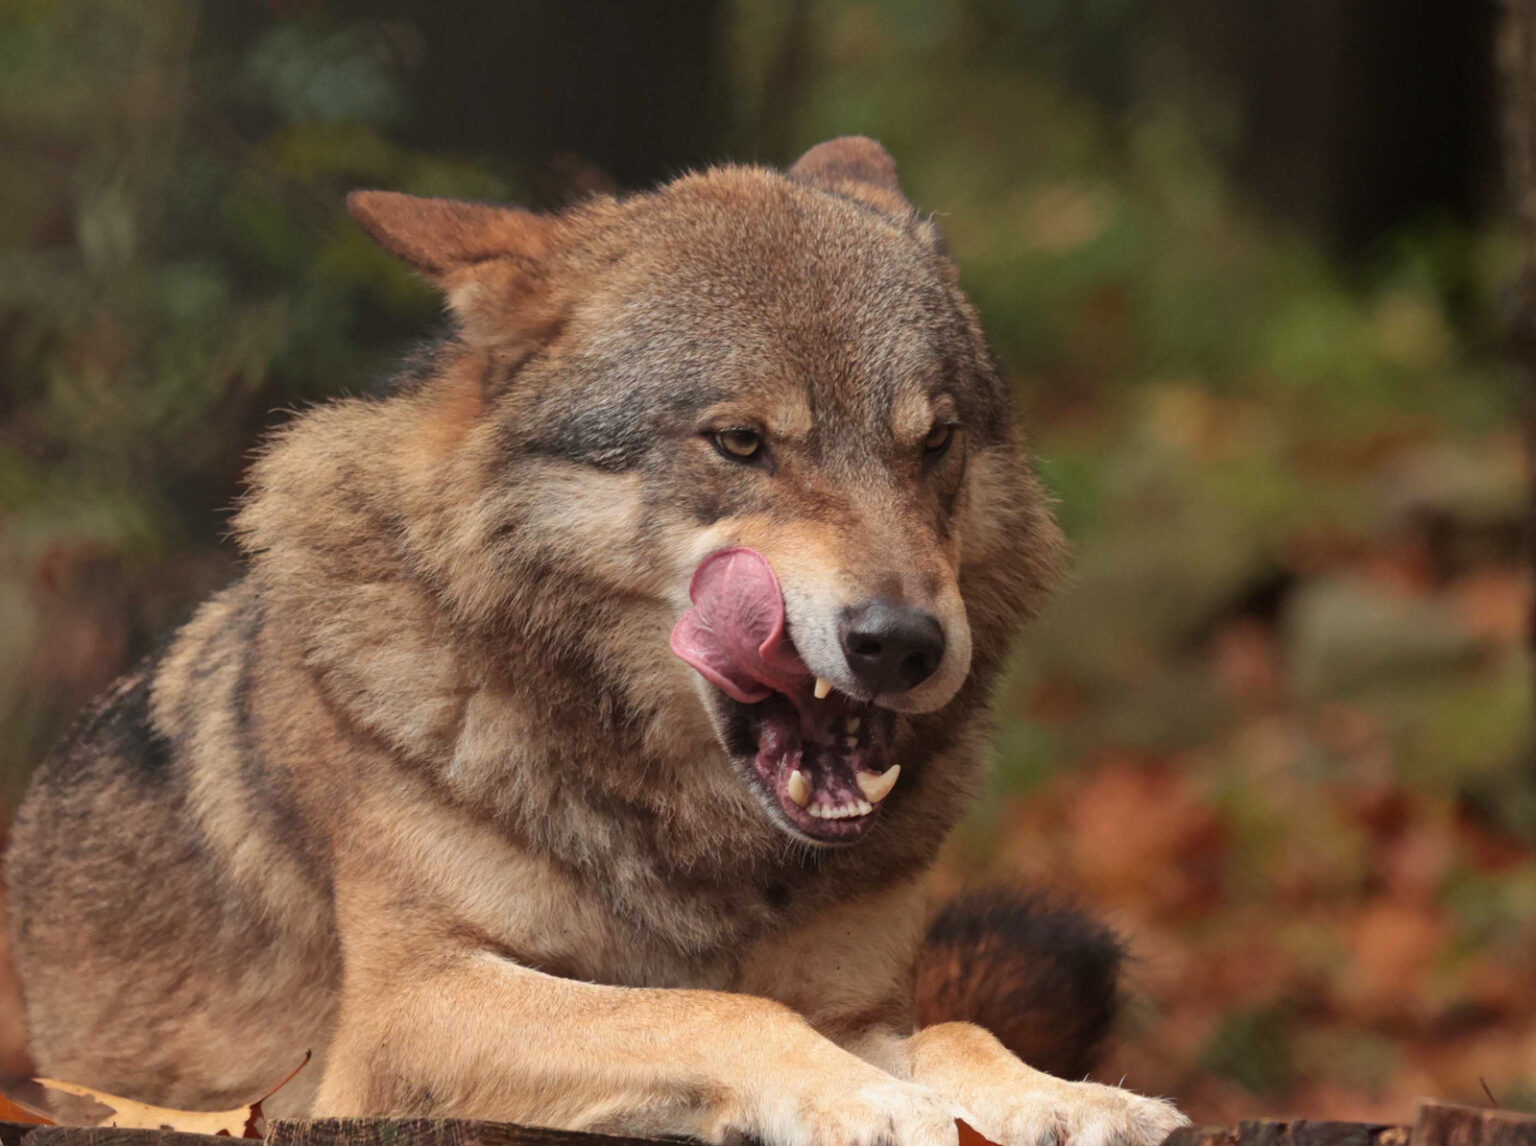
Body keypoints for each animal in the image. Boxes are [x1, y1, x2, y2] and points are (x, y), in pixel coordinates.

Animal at [5, 138, 1185, 1146]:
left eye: (935, 443)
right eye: (740, 442)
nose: (902, 642)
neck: (690, 854)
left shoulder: (861, 1003)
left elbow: (953, 1030)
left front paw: (1073, 1100)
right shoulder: (399, 1020)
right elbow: (714, 1012)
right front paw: (873, 1103)